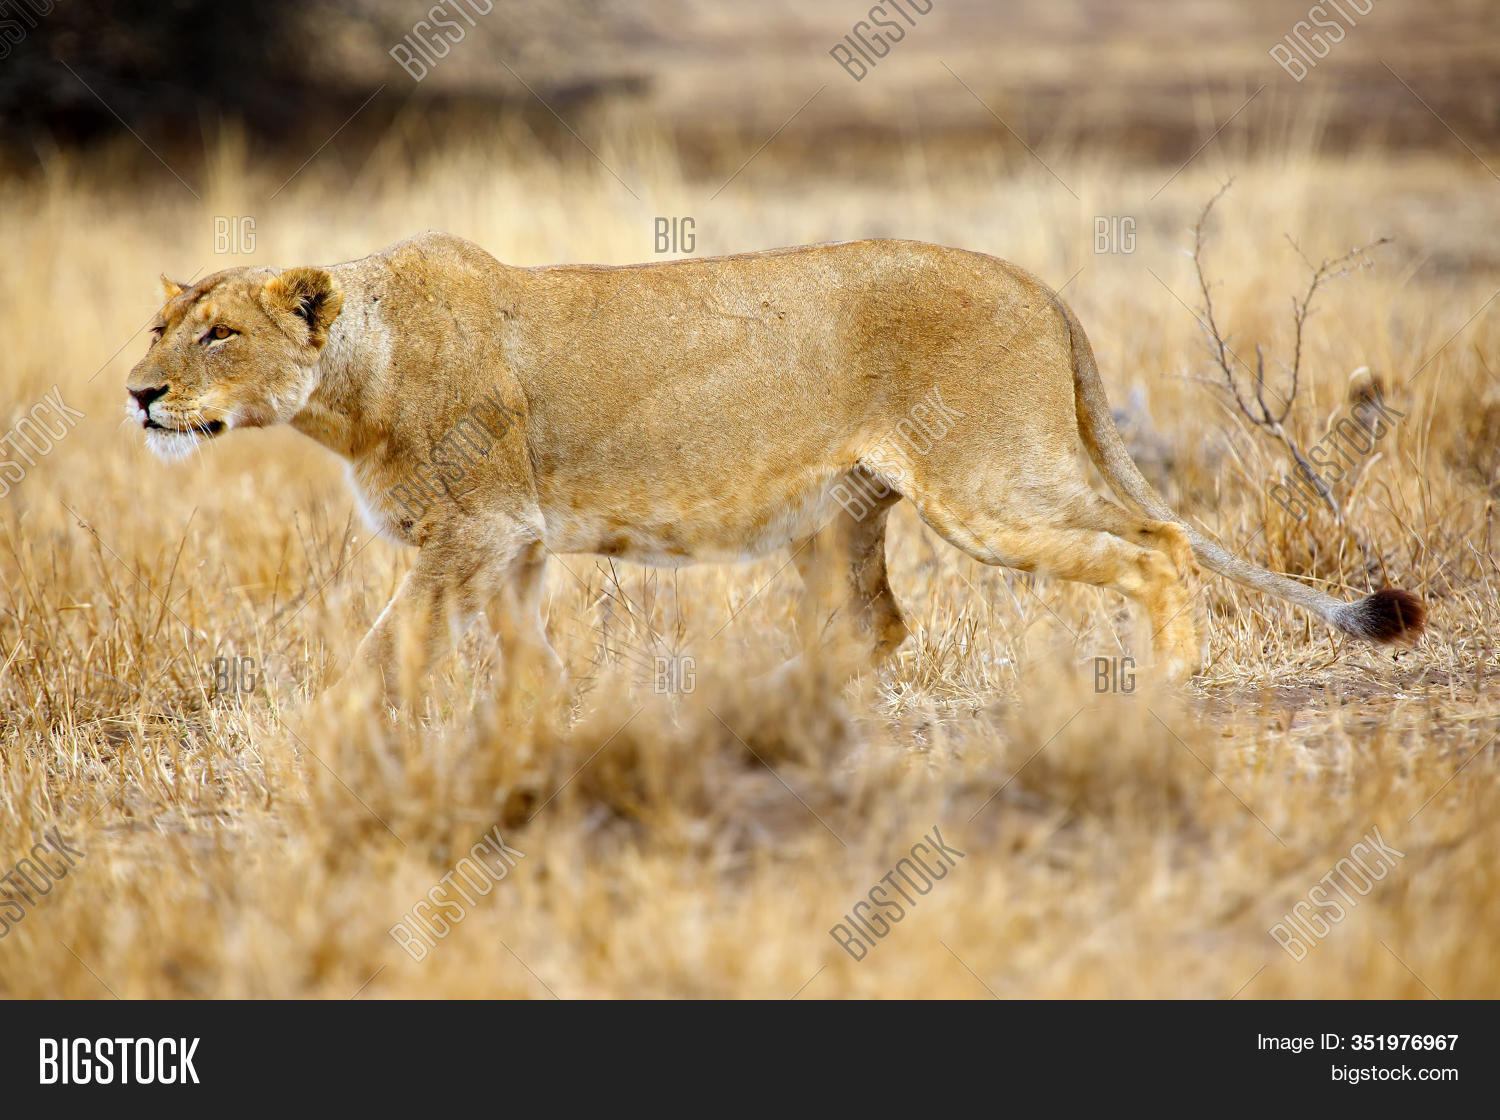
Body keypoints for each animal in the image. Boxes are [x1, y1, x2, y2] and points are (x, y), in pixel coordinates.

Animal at [126, 233, 1424, 700]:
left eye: (219, 334)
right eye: (161, 326)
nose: (138, 394)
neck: (356, 384)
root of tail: (1031, 278)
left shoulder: (473, 532)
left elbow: (385, 643)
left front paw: (342, 732)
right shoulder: (514, 547)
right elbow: (518, 650)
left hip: (992, 487)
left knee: (1158, 543)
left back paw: (1168, 688)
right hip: (853, 508)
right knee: (881, 622)